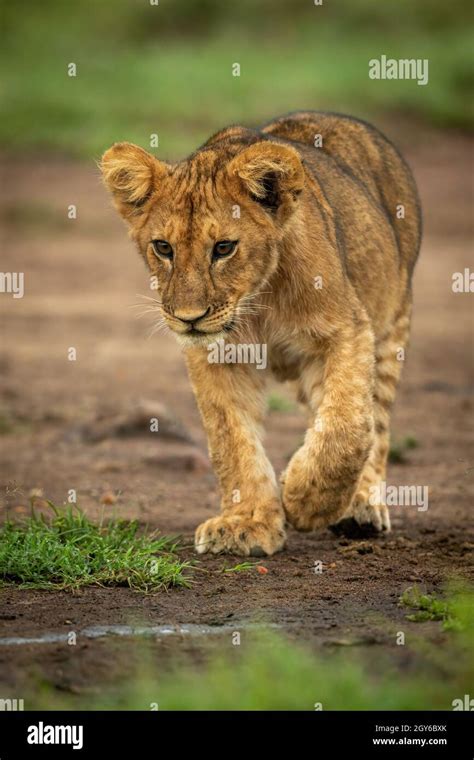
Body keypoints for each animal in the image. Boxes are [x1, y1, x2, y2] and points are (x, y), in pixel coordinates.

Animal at [101, 111, 421, 557]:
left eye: (224, 248)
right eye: (163, 248)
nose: (189, 318)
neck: (257, 303)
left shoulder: (347, 330)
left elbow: (348, 427)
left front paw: (305, 500)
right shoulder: (216, 355)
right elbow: (231, 440)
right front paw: (246, 524)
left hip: (392, 323)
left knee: (376, 420)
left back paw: (359, 506)